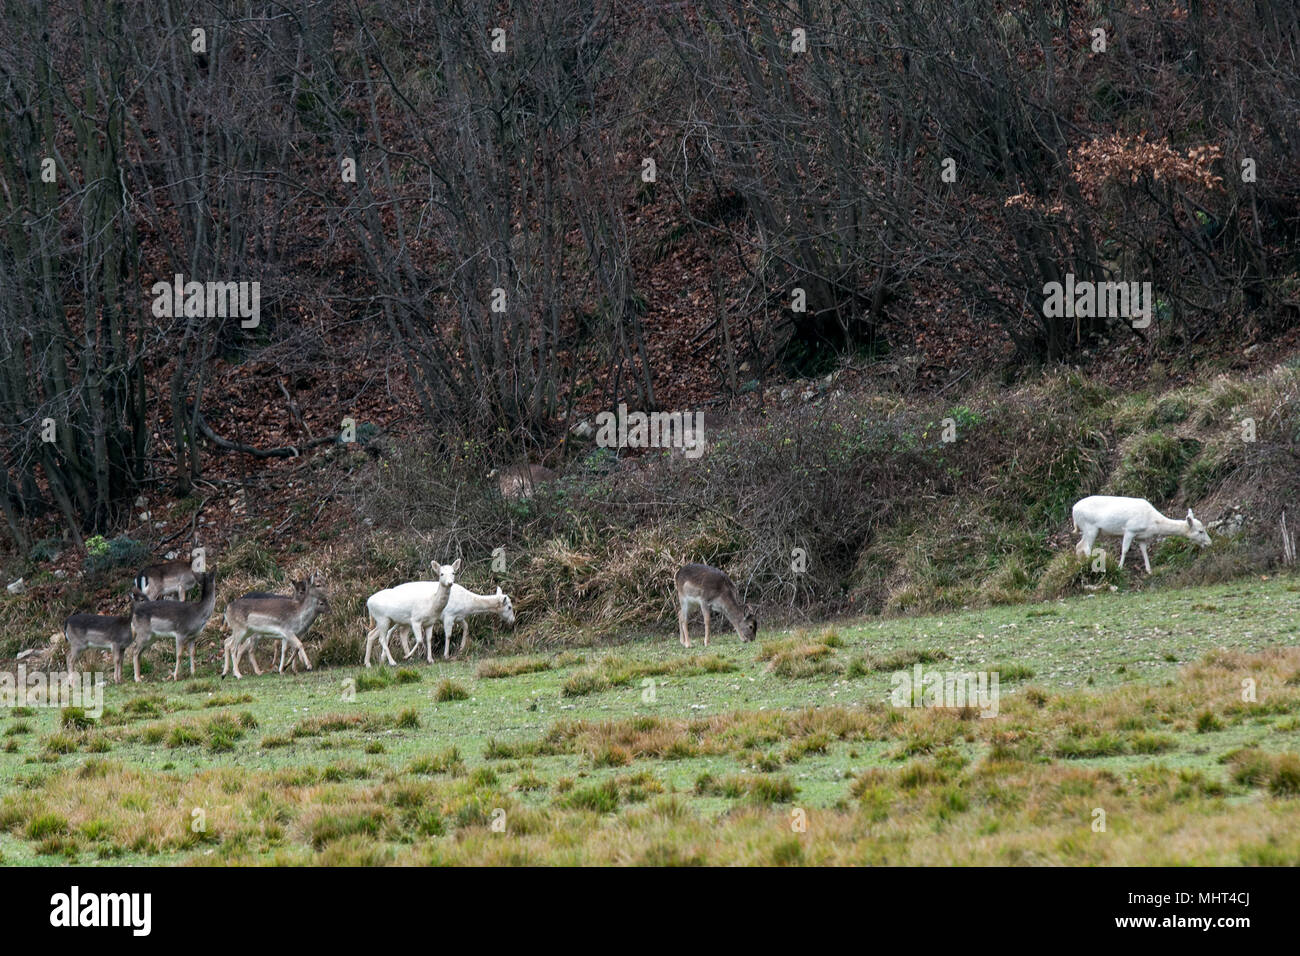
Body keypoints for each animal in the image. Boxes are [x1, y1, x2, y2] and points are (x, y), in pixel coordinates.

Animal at [1072, 495, 1212, 573]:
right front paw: (1119, 568)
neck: (1152, 523)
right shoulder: (1129, 530)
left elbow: (1144, 551)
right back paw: (1093, 565)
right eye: (1200, 531)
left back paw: (1081, 565)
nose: (1210, 542)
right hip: (1090, 527)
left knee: (1079, 545)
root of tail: (1073, 510)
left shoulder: (1141, 537)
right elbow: (1124, 550)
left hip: (1087, 530)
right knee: (1086, 548)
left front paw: (1149, 570)